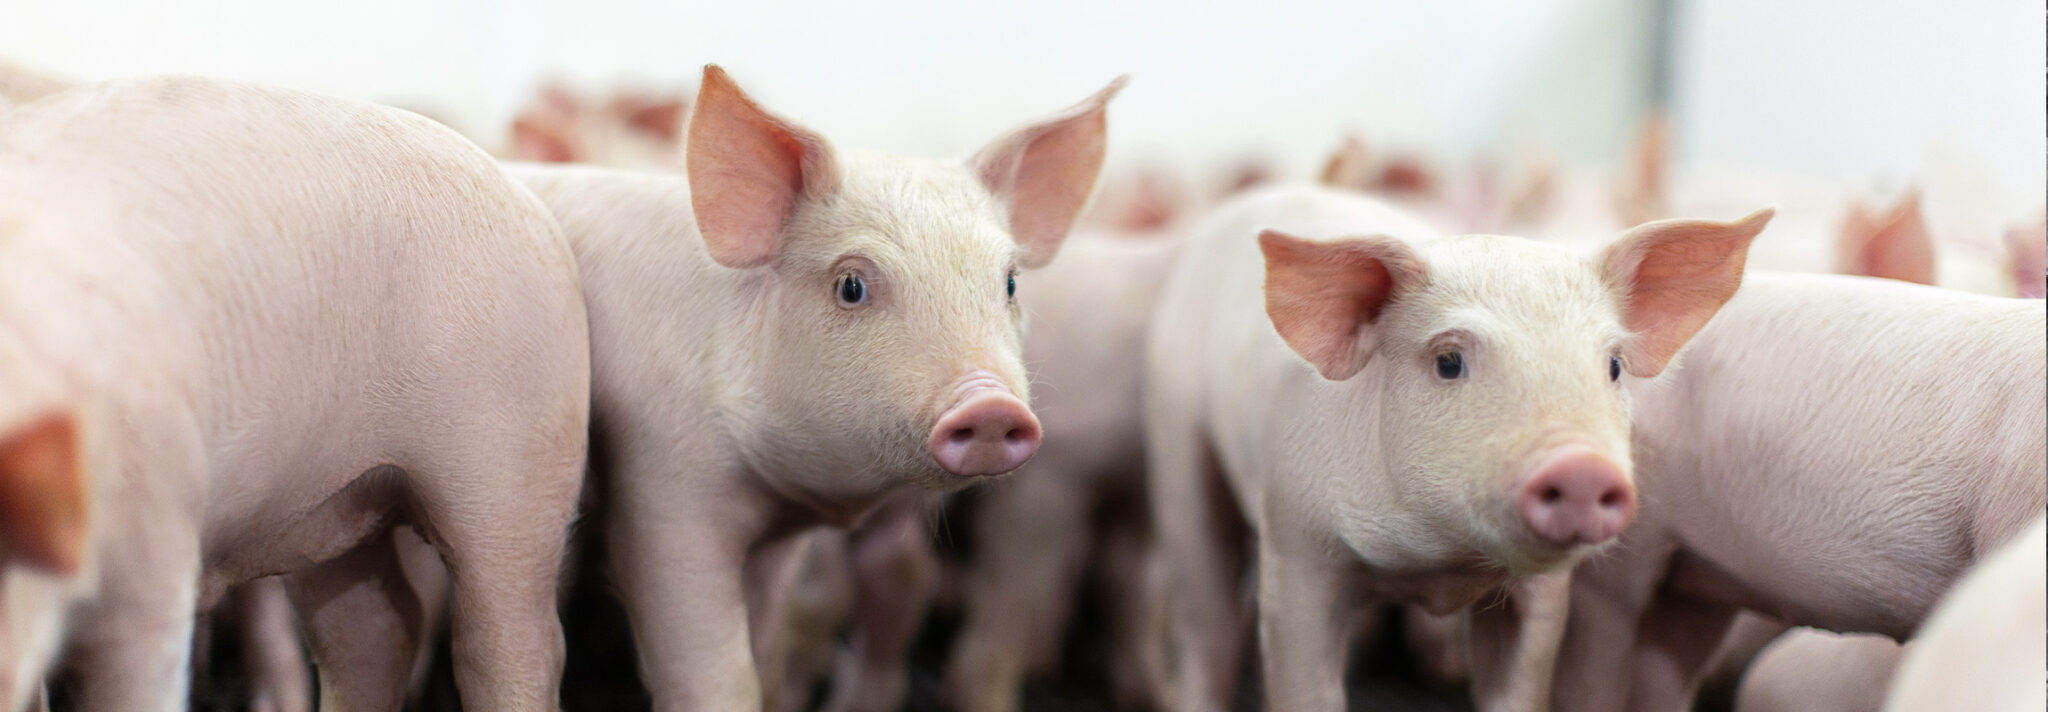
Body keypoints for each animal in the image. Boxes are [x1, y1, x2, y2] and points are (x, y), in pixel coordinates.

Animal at [0, 75, 589, 710]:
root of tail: (529, 202)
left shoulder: (159, 528)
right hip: (335, 499)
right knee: (371, 631)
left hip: (517, 462)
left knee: (513, 639)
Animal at [509, 64, 1124, 710]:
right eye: (851, 285)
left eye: (1009, 283)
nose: (991, 404)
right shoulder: (661, 487)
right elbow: (713, 664)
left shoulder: (776, 544)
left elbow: (769, 648)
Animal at [1142, 181, 1771, 711]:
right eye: (1448, 361)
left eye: (1612, 365)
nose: (1583, 467)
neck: (1436, 567)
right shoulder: (1294, 542)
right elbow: (1303, 681)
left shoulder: (1543, 592)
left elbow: (1519, 686)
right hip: (1174, 439)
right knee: (1206, 621)